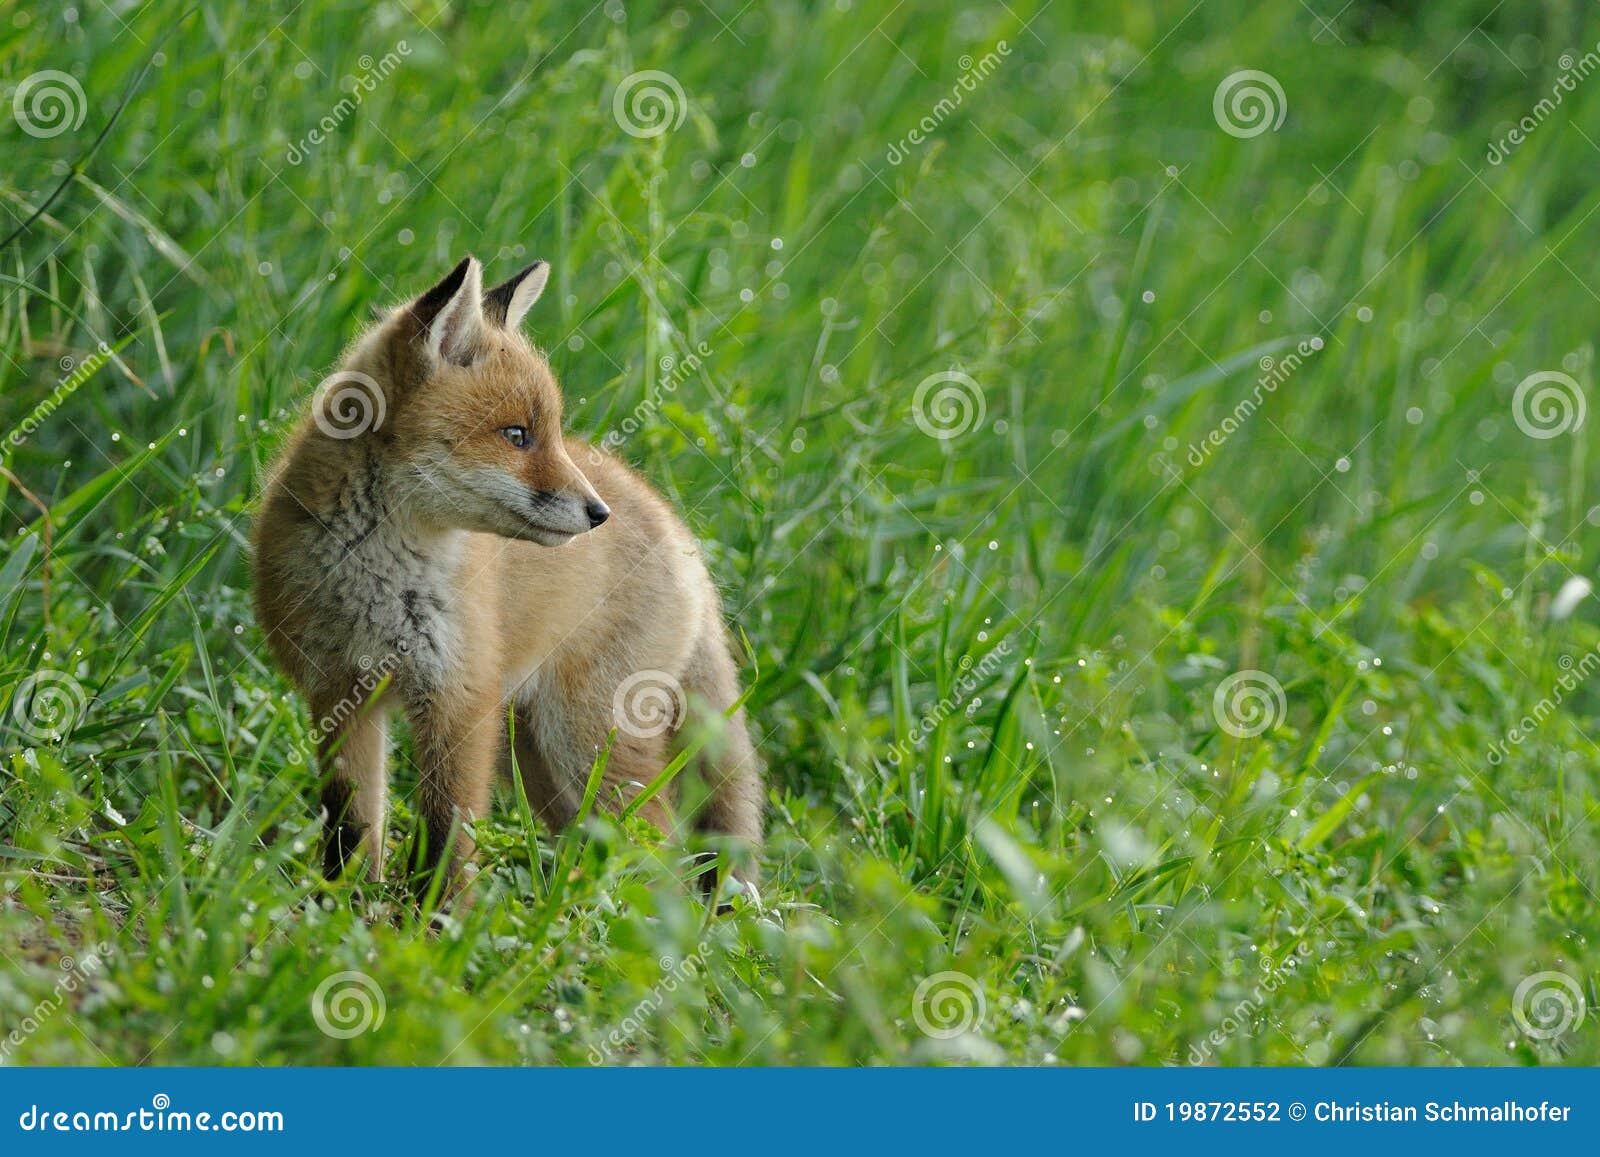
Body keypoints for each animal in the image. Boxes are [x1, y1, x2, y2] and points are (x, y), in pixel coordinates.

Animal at [251, 255, 764, 902]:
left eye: (550, 432)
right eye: (517, 435)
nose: (598, 514)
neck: (376, 581)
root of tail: (679, 531)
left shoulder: (459, 697)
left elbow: (448, 831)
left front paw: (438, 919)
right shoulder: (340, 694)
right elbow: (350, 829)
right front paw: (344, 908)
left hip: (584, 739)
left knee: (662, 853)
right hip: (534, 756)